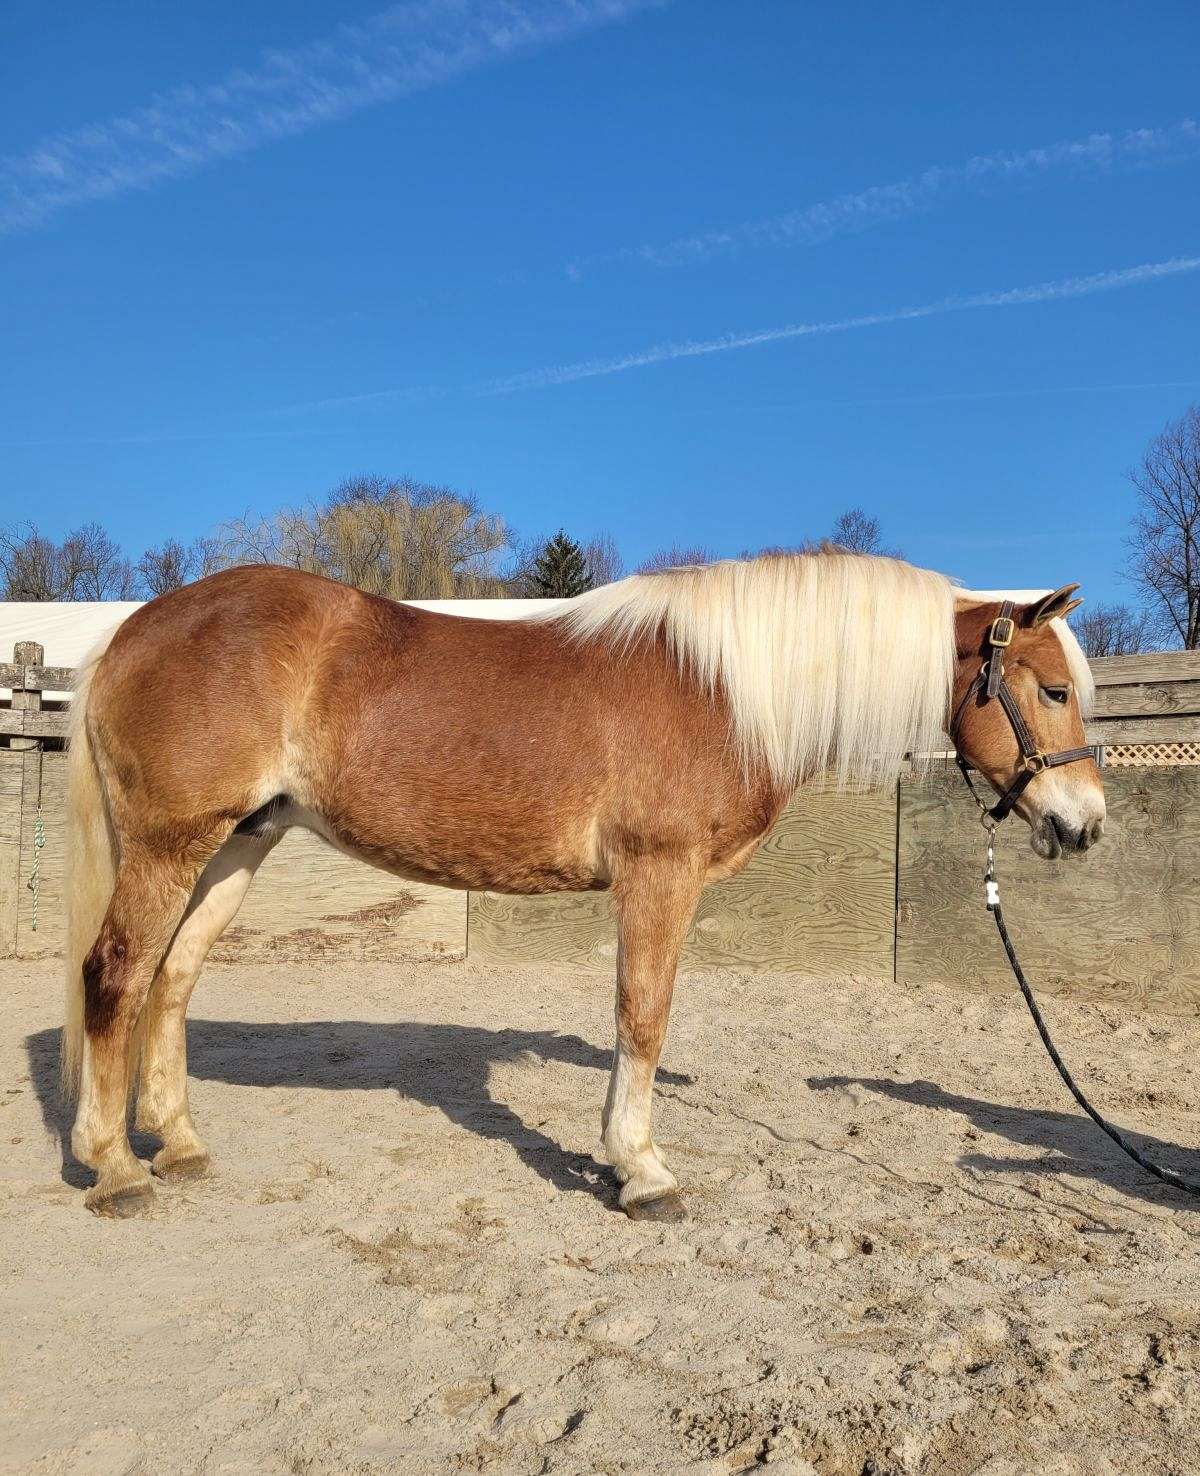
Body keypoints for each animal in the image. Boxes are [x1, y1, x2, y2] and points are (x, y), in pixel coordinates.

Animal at [61, 552, 1105, 1219]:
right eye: (1052, 690)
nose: (1085, 825)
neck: (723, 690)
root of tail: (133, 630)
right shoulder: (659, 876)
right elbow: (642, 1014)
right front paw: (641, 1172)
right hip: (170, 844)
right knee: (115, 975)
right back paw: (115, 1168)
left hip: (239, 843)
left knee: (172, 979)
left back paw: (177, 1144)